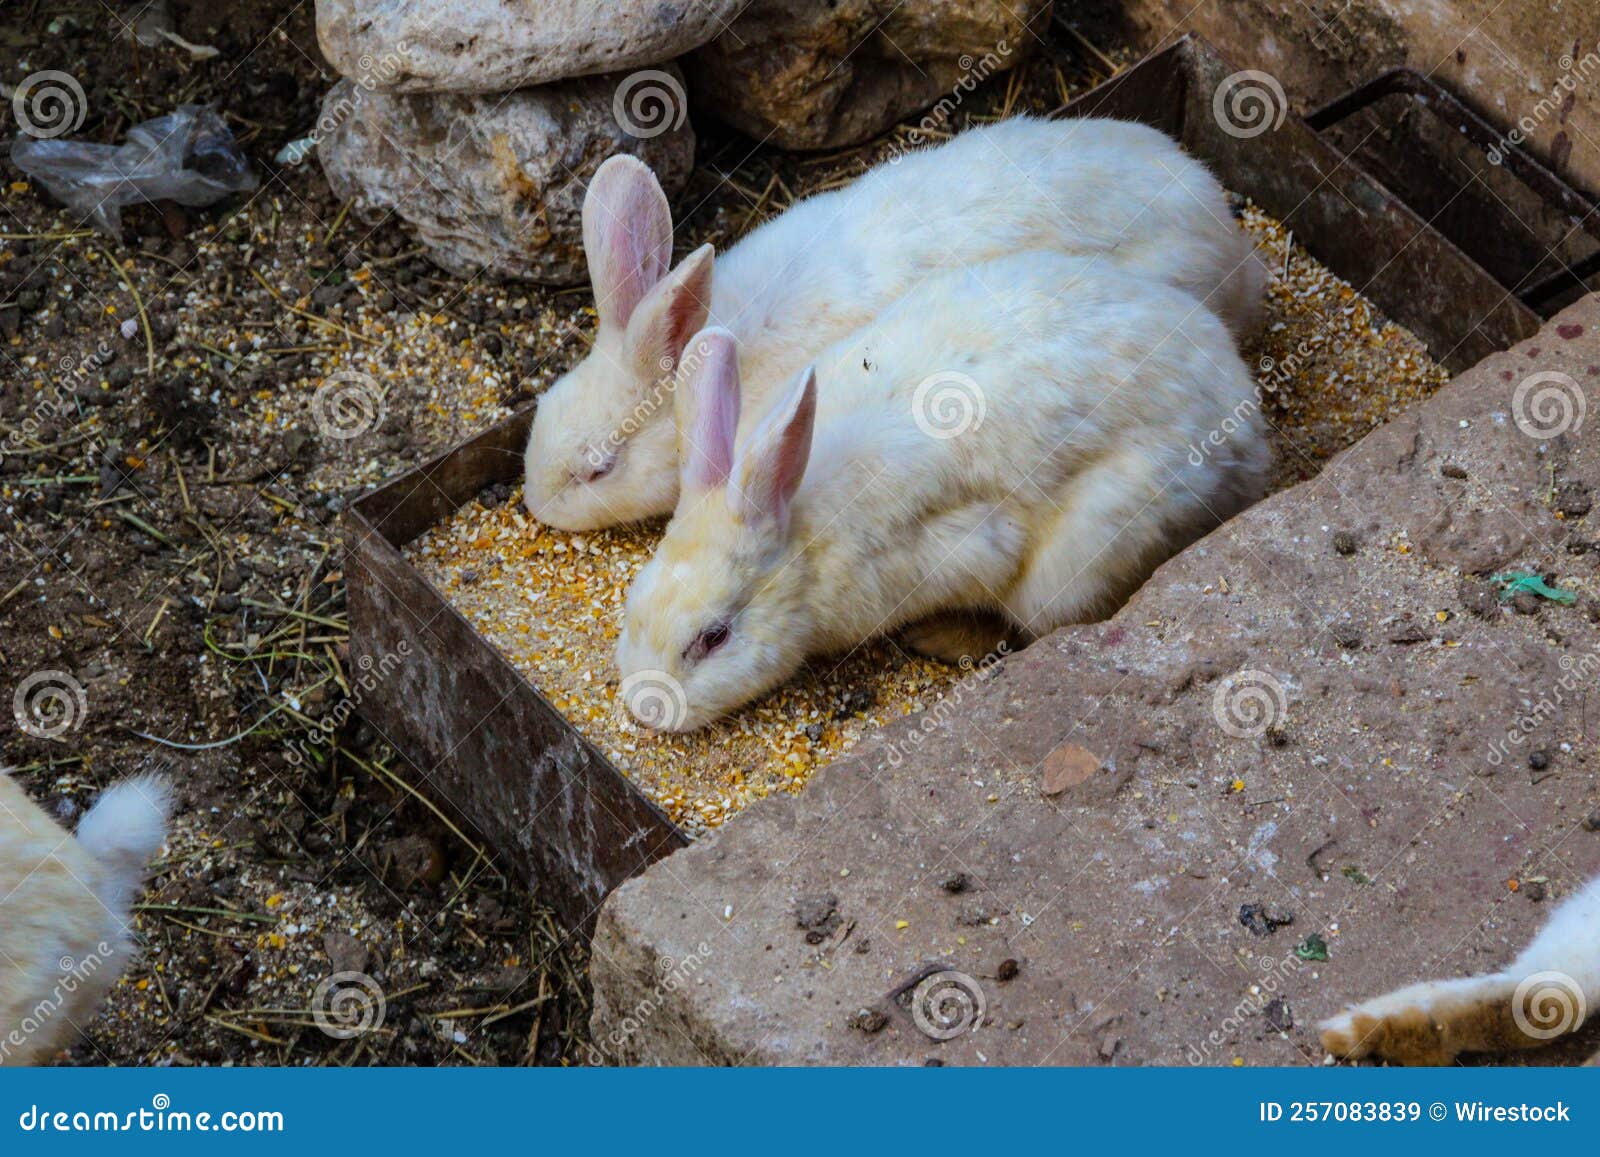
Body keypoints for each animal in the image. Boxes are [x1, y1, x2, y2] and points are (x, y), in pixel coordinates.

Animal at [614, 251, 1268, 731]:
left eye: (713, 638)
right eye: (631, 604)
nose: (645, 709)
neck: (800, 530)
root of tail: (1245, 413)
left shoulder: (970, 545)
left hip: (1084, 556)